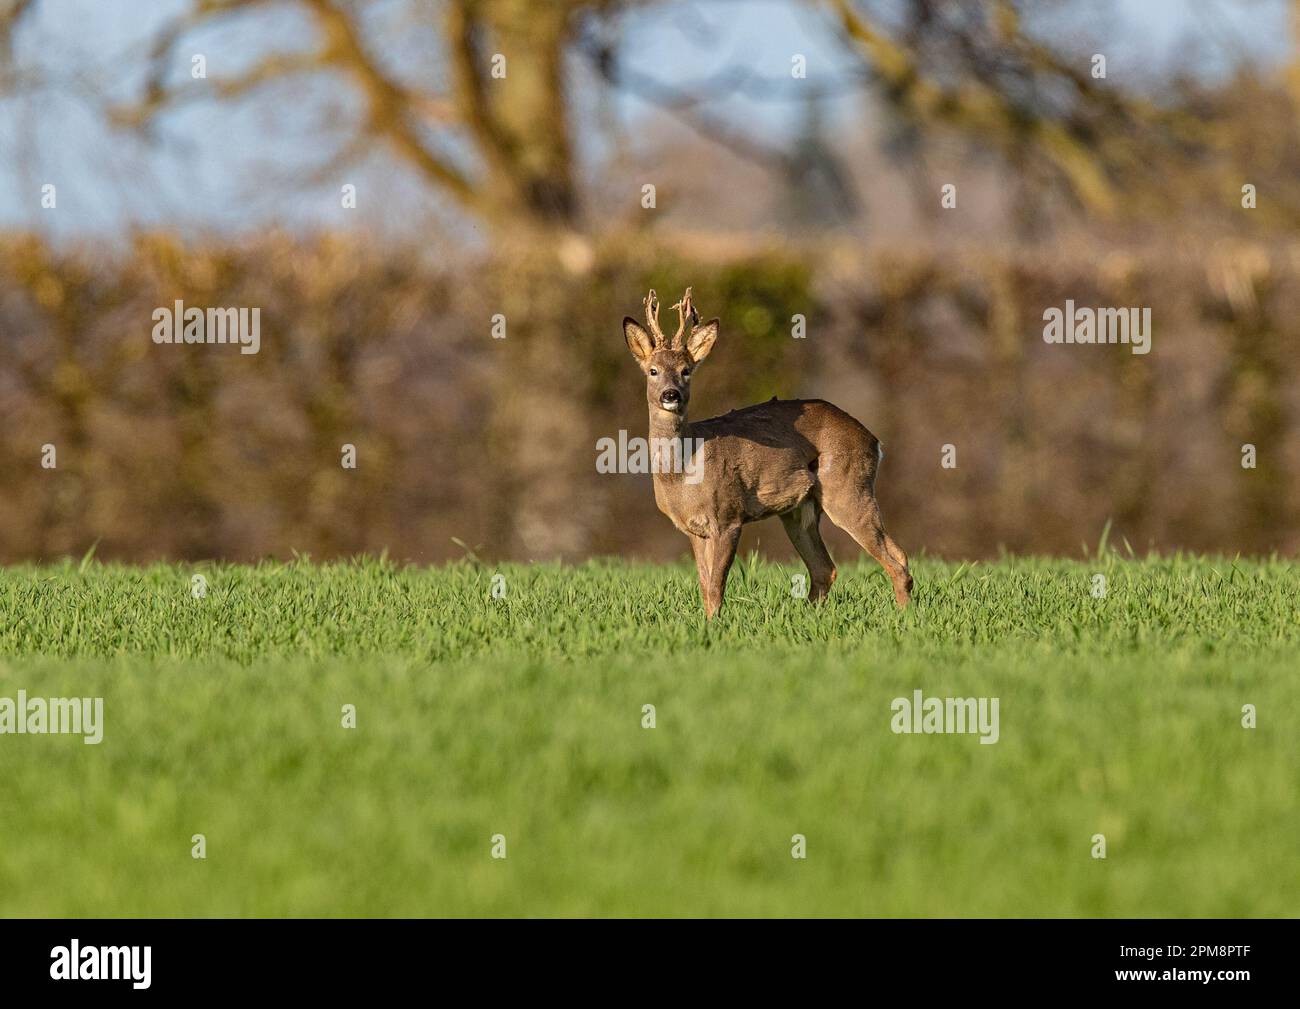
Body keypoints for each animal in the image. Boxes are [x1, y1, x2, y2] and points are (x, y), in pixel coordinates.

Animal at [623, 287, 913, 619]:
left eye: (686, 371)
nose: (671, 394)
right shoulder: (694, 529)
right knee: (826, 568)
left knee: (896, 560)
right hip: (799, 510)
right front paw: (707, 622)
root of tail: (874, 440)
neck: (682, 472)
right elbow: (704, 585)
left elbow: (716, 585)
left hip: (849, 489)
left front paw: (714, 625)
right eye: (653, 371)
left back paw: (904, 617)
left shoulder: (728, 517)